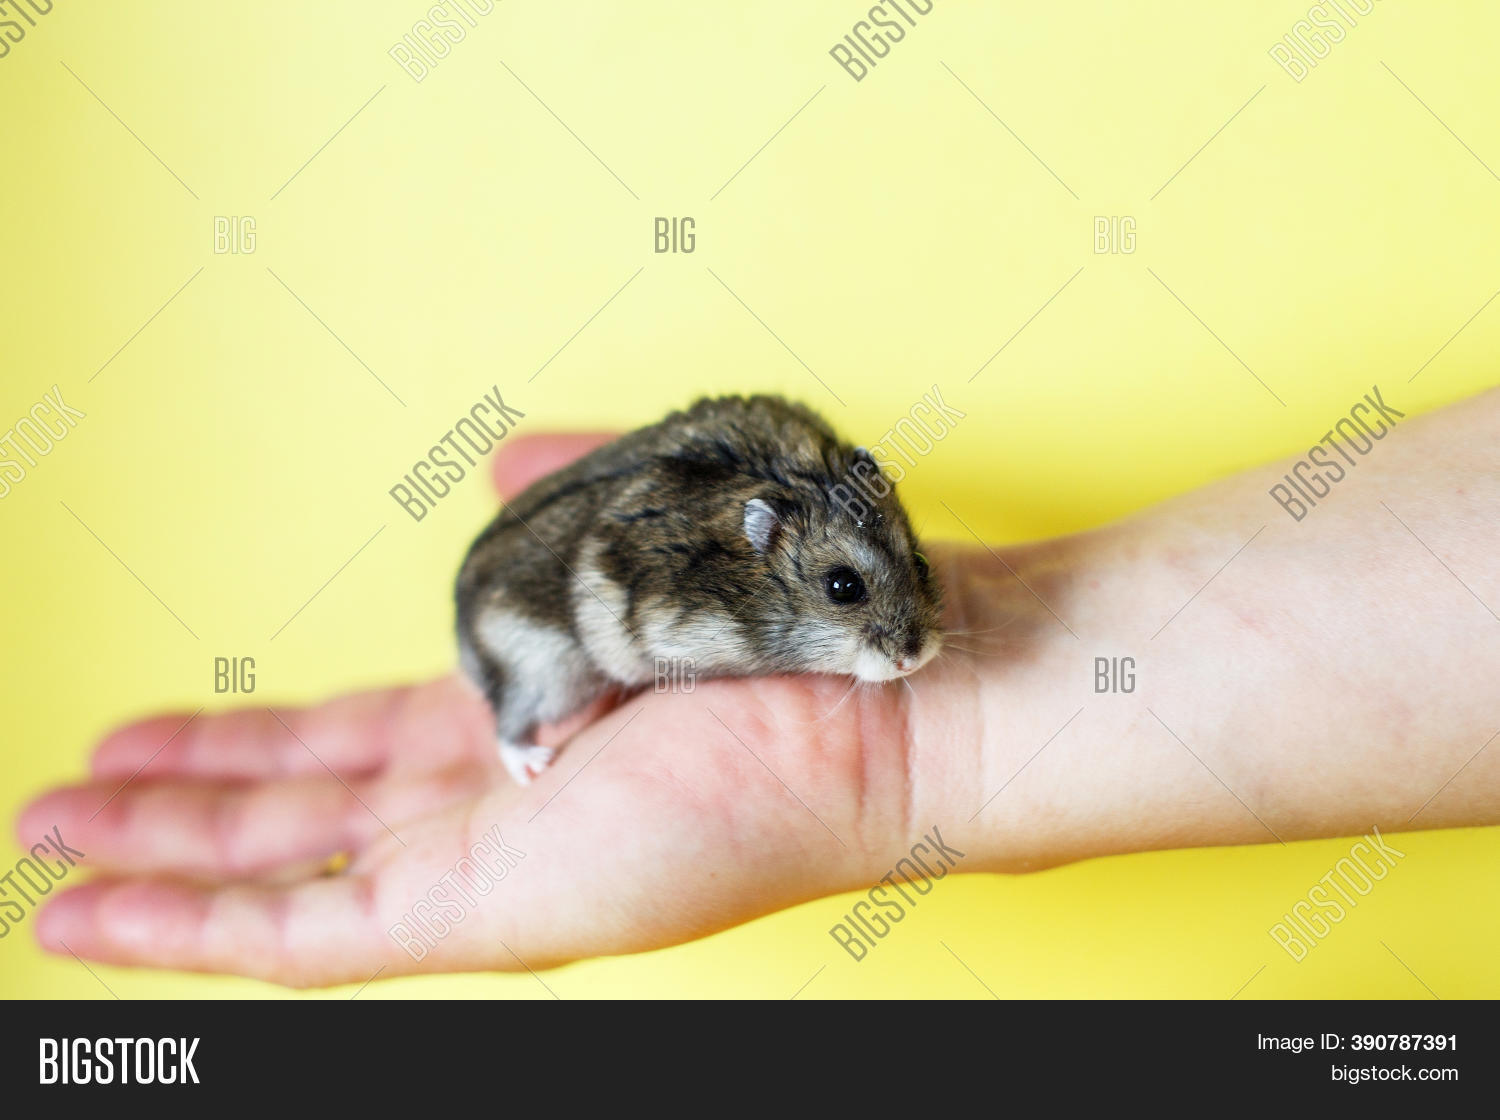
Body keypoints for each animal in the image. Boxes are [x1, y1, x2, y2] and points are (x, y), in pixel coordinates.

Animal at [455, 394, 944, 784]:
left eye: (921, 563)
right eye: (842, 586)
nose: (913, 659)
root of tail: (460, 620)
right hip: (542, 668)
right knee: (509, 721)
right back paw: (533, 765)